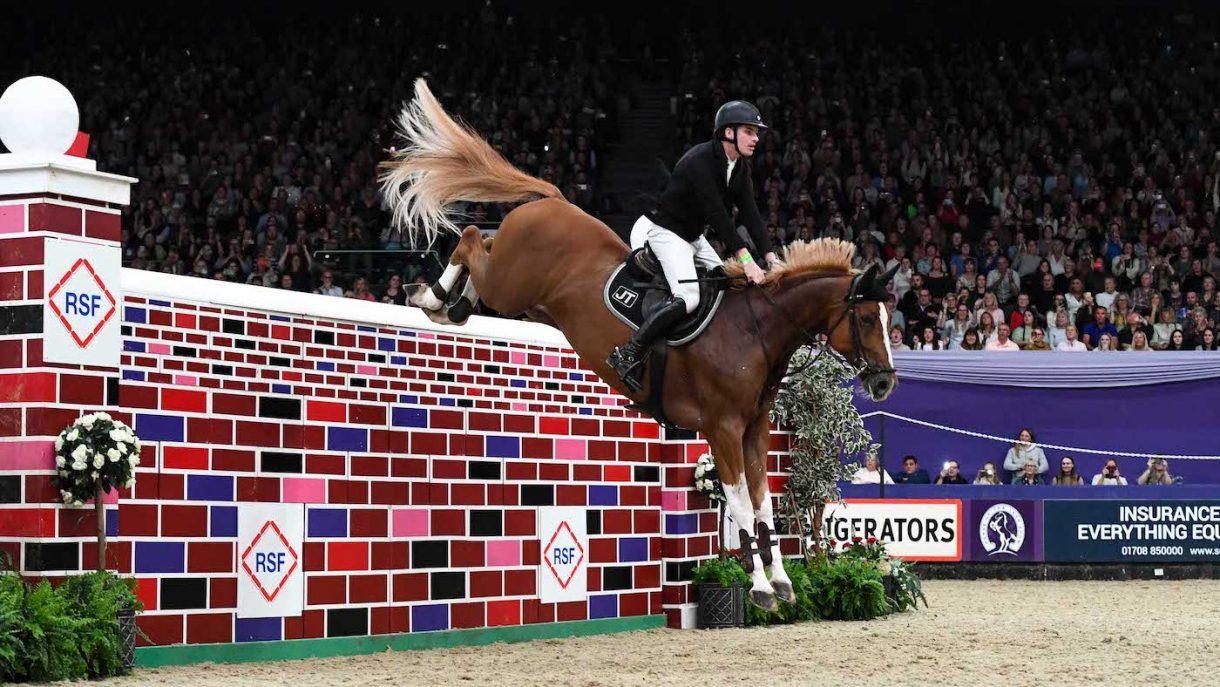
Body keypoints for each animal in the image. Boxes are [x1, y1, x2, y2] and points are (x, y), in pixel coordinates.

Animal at [378, 79, 897, 611]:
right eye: (864, 317)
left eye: (887, 316)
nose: (884, 383)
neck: (755, 330)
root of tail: (553, 200)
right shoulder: (723, 428)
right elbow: (739, 506)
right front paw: (757, 586)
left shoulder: (754, 430)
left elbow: (763, 505)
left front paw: (782, 581)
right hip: (509, 284)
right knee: (469, 237)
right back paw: (431, 297)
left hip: (518, 290)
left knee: (479, 246)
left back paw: (453, 305)